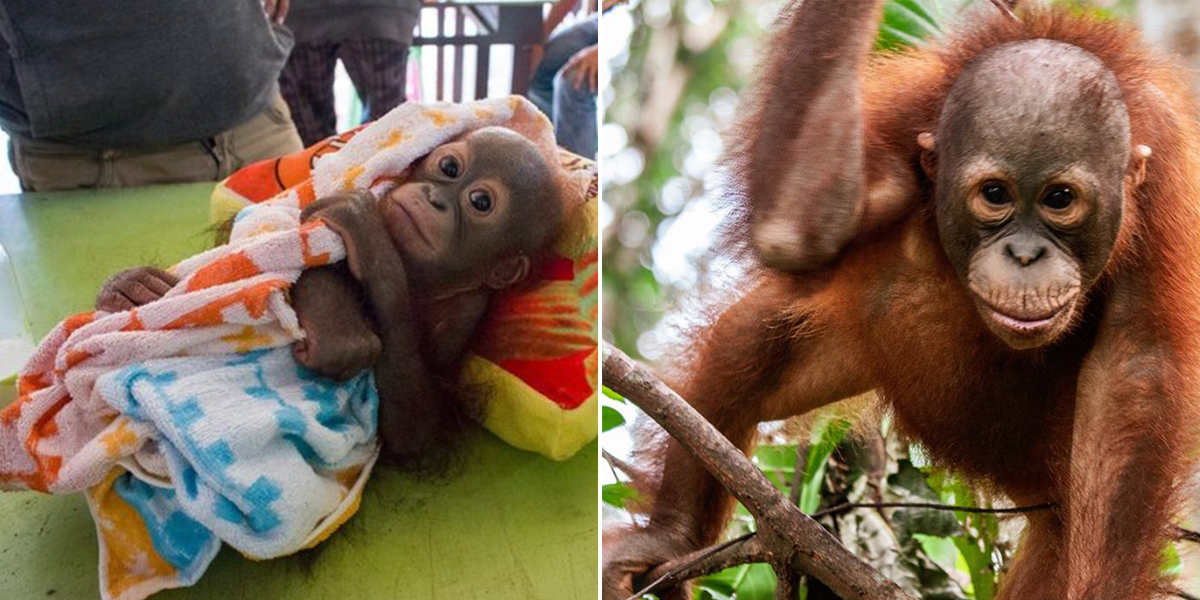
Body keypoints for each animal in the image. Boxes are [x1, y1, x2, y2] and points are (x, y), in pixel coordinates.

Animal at [96, 126, 565, 469]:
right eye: (449, 166)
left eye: (480, 201)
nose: (435, 198)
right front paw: (131, 285)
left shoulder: (466, 314)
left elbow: (412, 433)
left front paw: (365, 239)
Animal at [602, 3, 1200, 600]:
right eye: (995, 194)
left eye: (1060, 199)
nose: (1026, 255)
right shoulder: (903, 128)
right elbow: (795, 233)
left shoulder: (1166, 183)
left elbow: (1134, 369)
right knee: (757, 330)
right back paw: (671, 536)